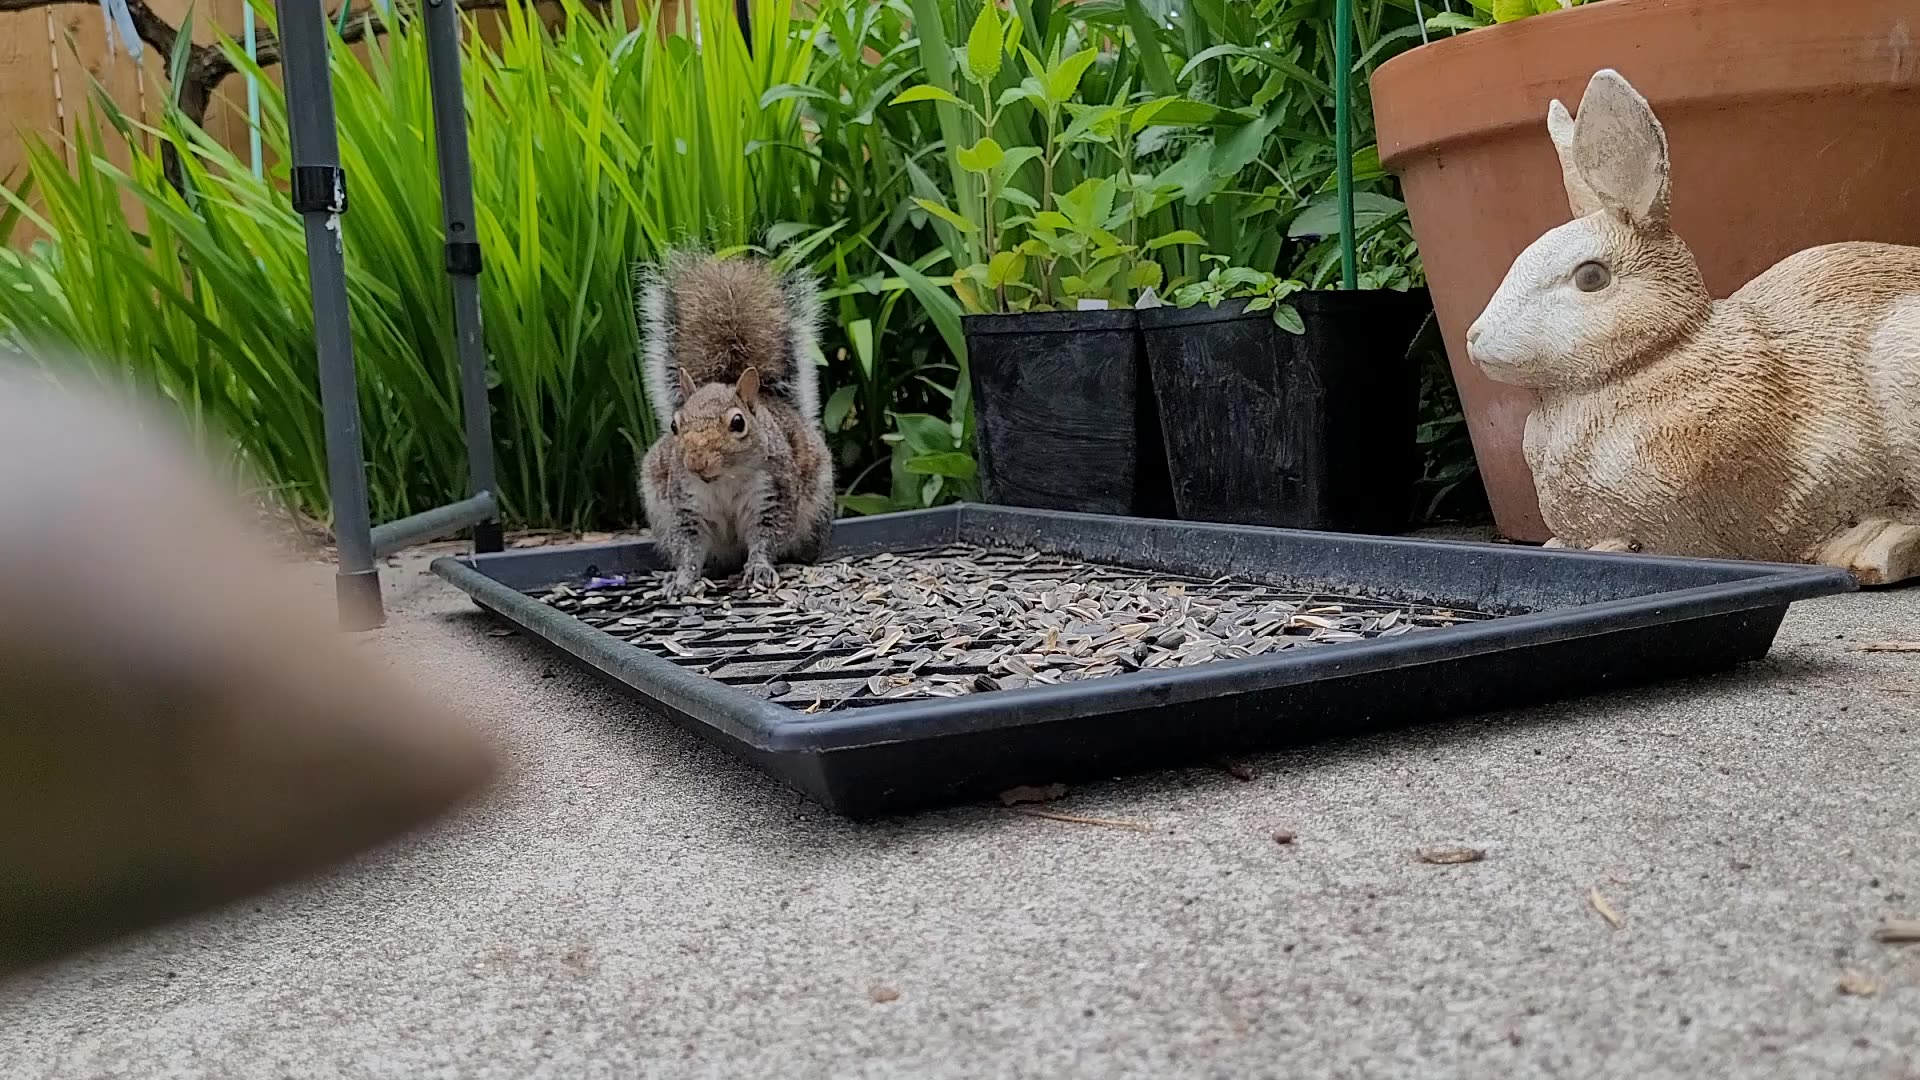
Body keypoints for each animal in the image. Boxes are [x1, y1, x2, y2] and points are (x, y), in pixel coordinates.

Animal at [635, 250, 834, 595]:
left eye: (738, 424)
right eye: (674, 426)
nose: (696, 461)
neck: (722, 481)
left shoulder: (772, 496)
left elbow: (766, 538)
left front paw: (759, 569)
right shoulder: (686, 505)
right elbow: (689, 548)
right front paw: (682, 579)